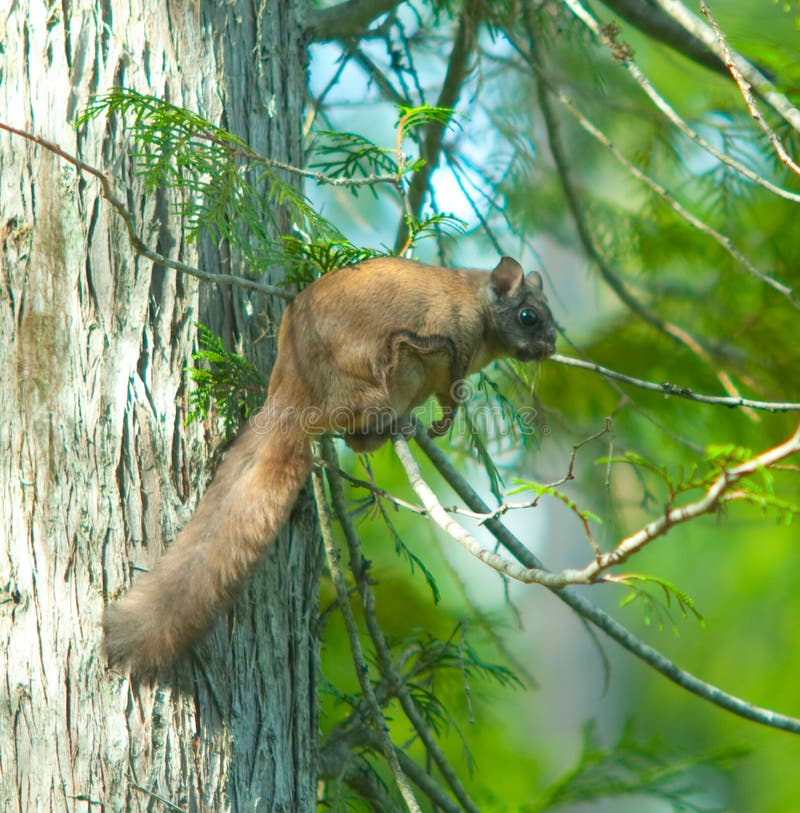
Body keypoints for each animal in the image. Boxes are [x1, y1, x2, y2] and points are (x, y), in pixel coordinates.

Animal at [103, 256, 556, 676]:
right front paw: (444, 420)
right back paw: (396, 395)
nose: (551, 347)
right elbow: (453, 387)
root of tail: (293, 391)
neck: (480, 313)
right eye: (528, 316)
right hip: (386, 377)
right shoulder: (452, 333)